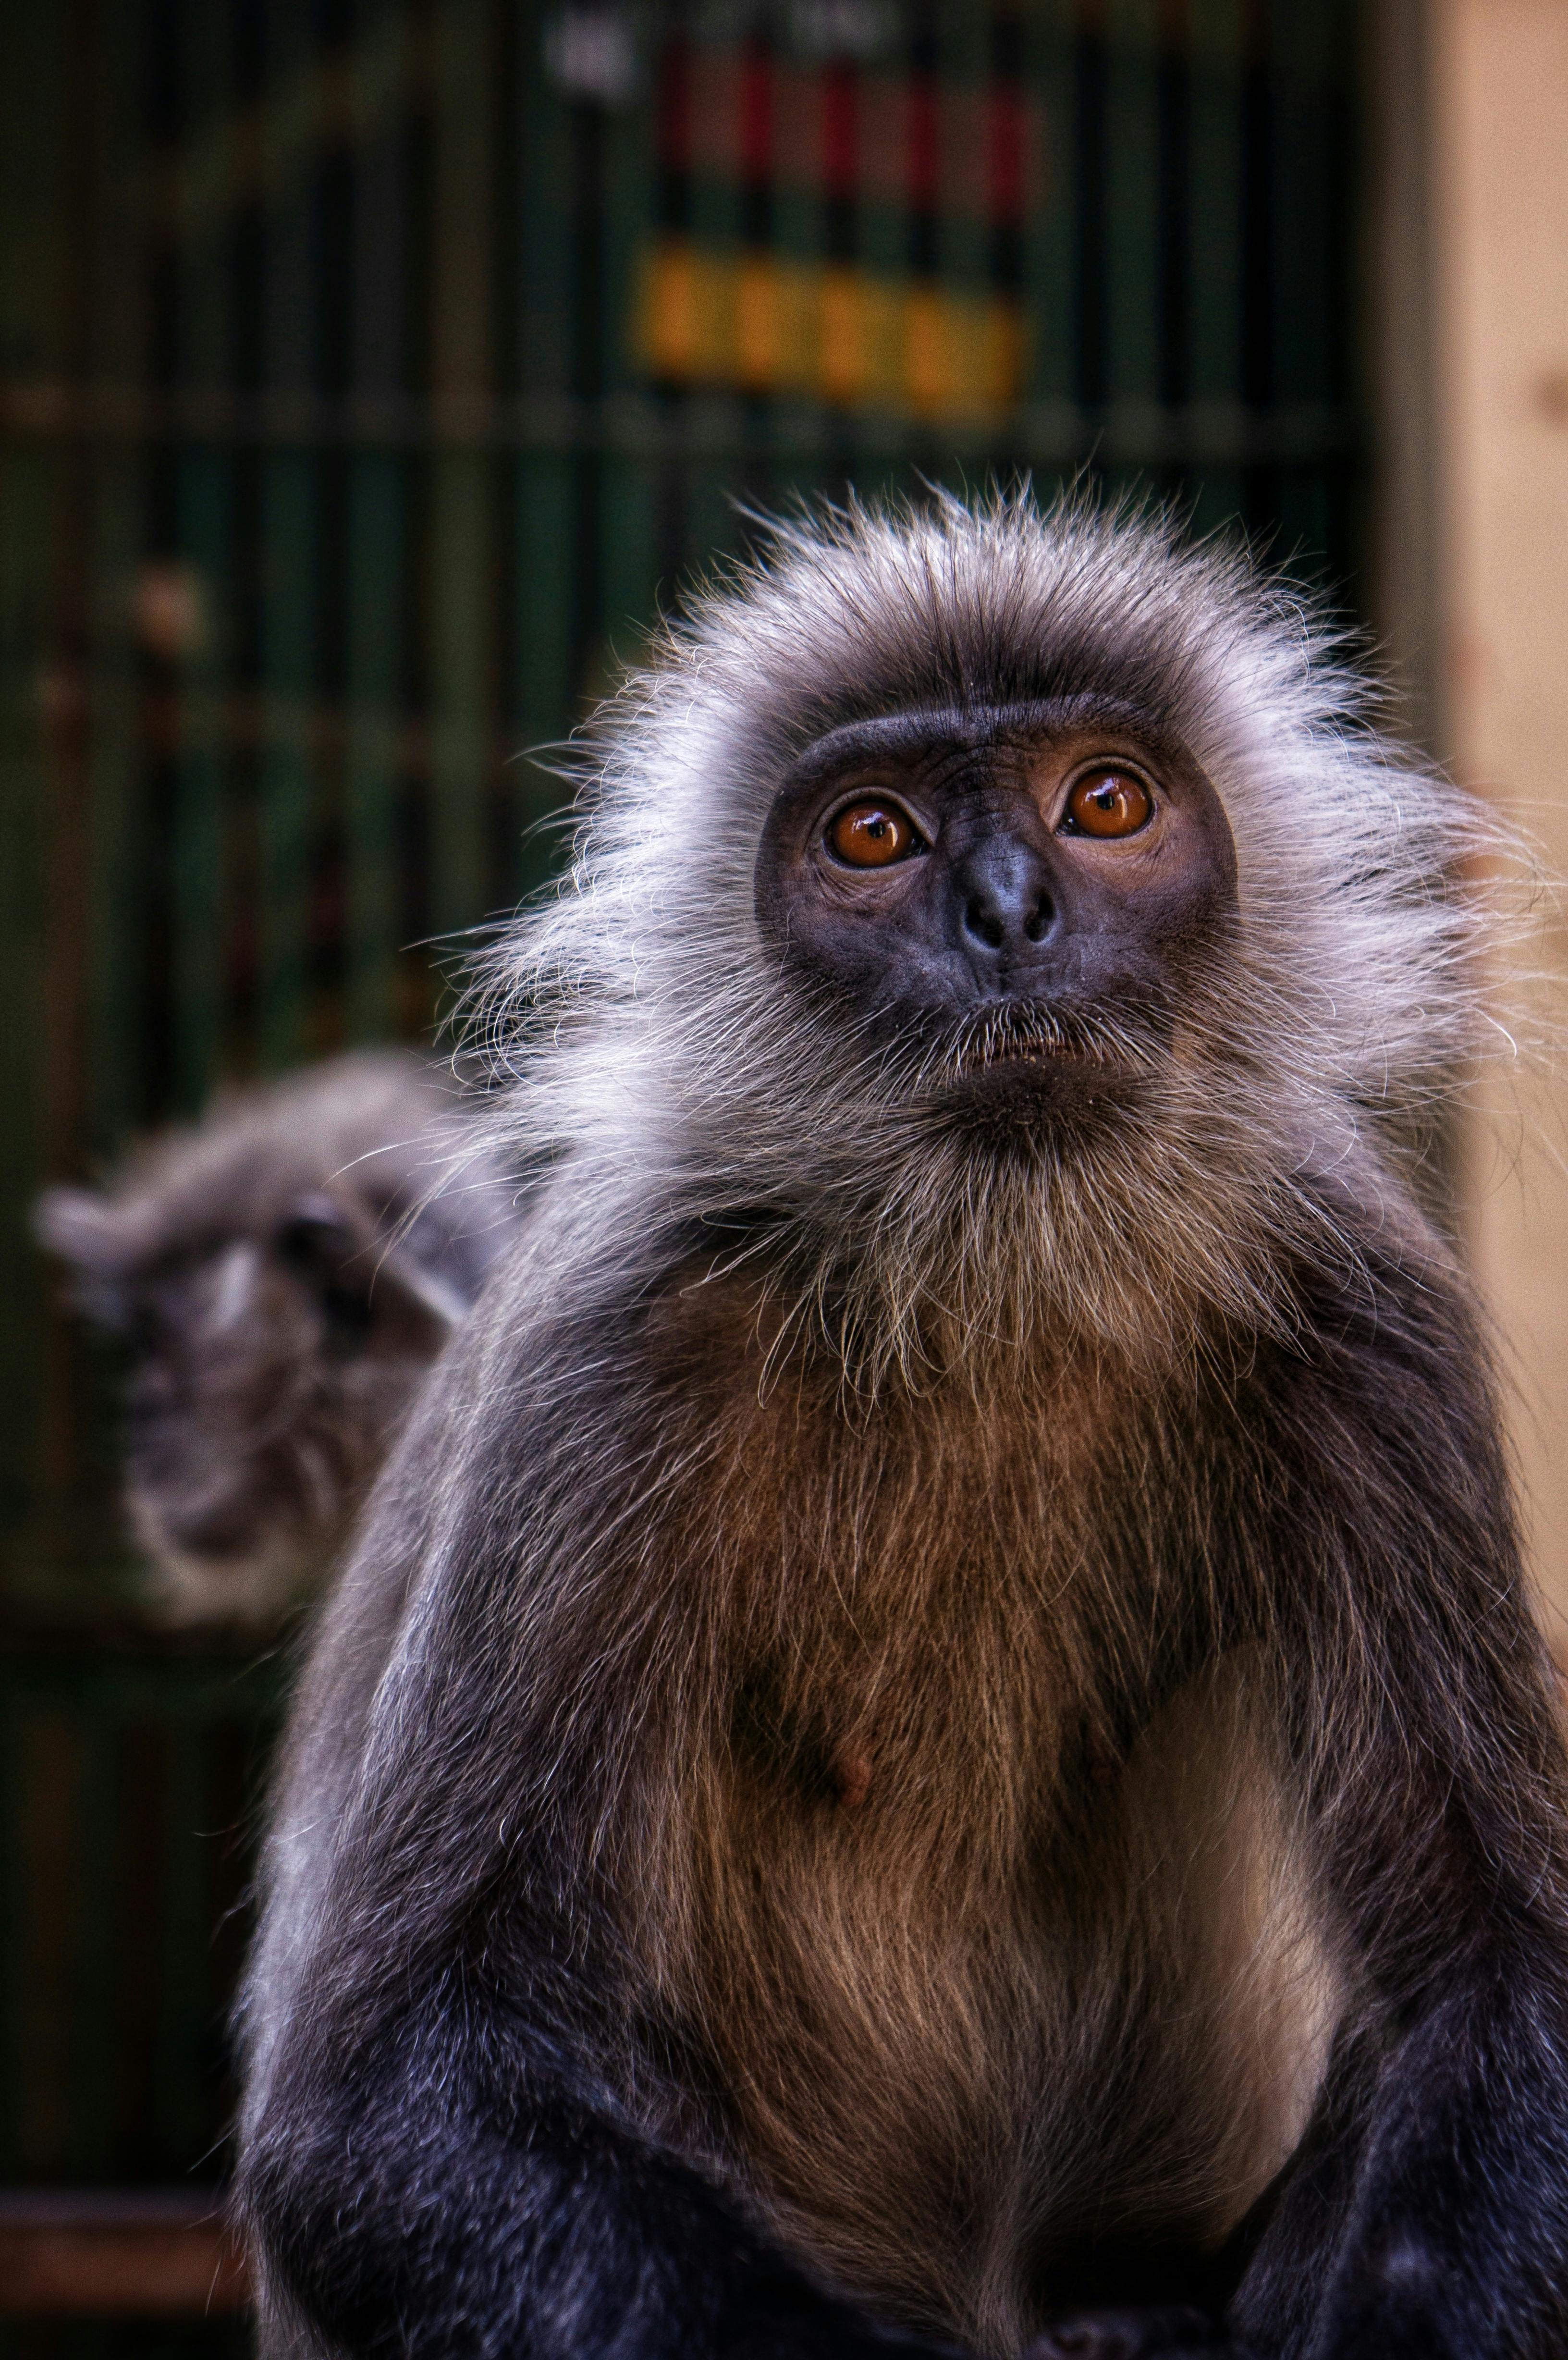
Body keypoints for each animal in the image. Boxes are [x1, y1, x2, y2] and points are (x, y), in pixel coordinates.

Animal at [237, 494, 1568, 2360]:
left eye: (1104, 803)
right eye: (873, 833)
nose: (1008, 913)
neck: (990, 1290)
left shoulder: (1353, 1286)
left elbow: (1490, 1981)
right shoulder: (616, 1339)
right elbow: (374, 2111)